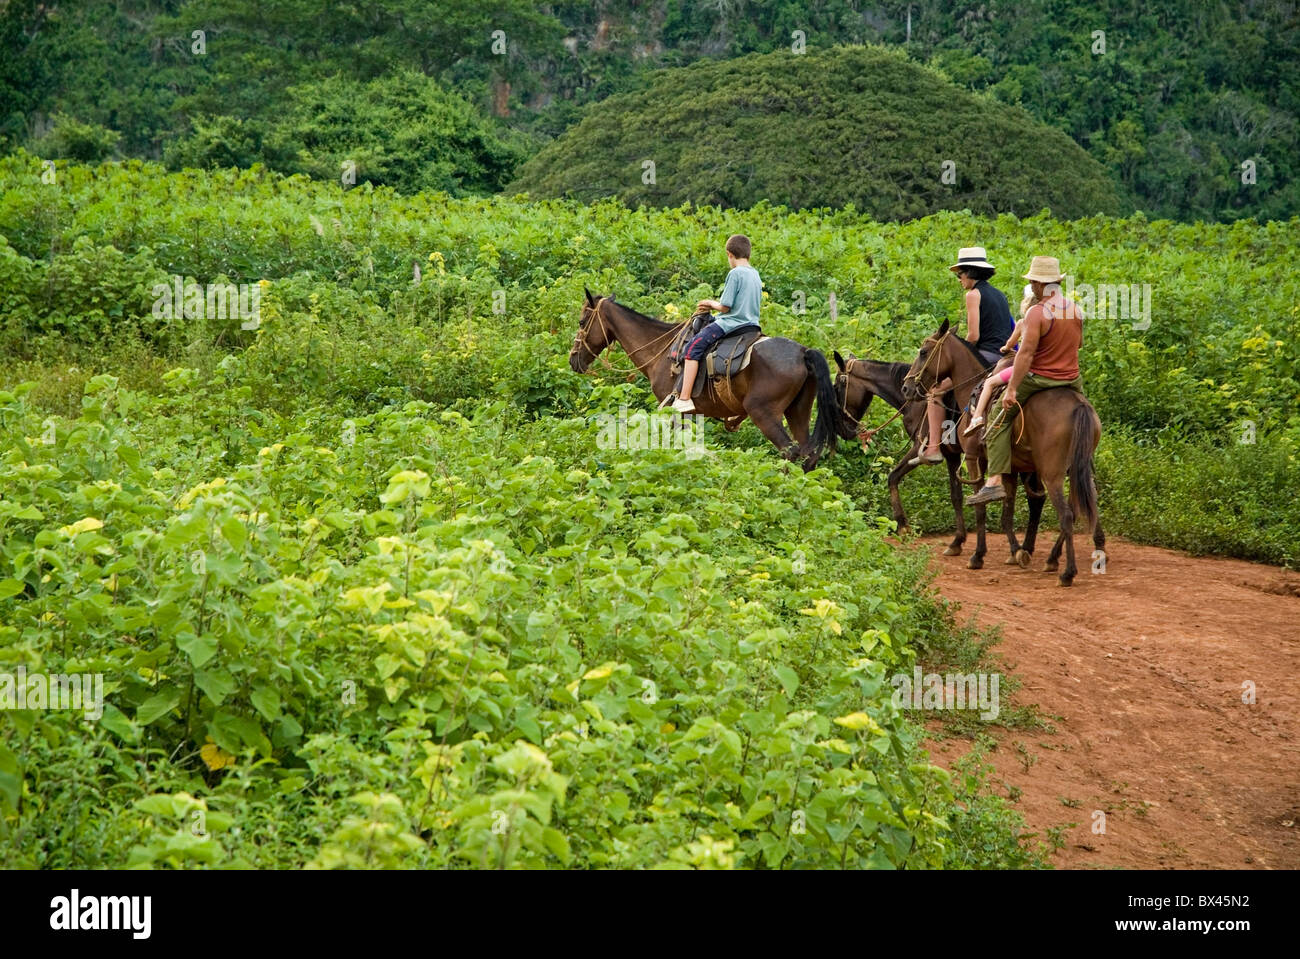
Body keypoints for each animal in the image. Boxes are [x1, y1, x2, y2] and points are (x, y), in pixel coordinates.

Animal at [569, 291, 852, 470]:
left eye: (582, 321)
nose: (573, 360)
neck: (662, 348)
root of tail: (804, 352)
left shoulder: (676, 411)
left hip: (763, 412)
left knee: (790, 452)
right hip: (798, 410)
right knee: (807, 454)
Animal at [904, 319, 1107, 582]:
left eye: (923, 351)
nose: (906, 387)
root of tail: (1080, 406)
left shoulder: (974, 459)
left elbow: (980, 507)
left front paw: (978, 555)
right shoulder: (1010, 465)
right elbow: (1007, 511)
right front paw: (1017, 551)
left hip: (1052, 472)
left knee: (1067, 514)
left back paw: (1067, 572)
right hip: (1078, 468)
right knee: (1082, 504)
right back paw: (1057, 557)